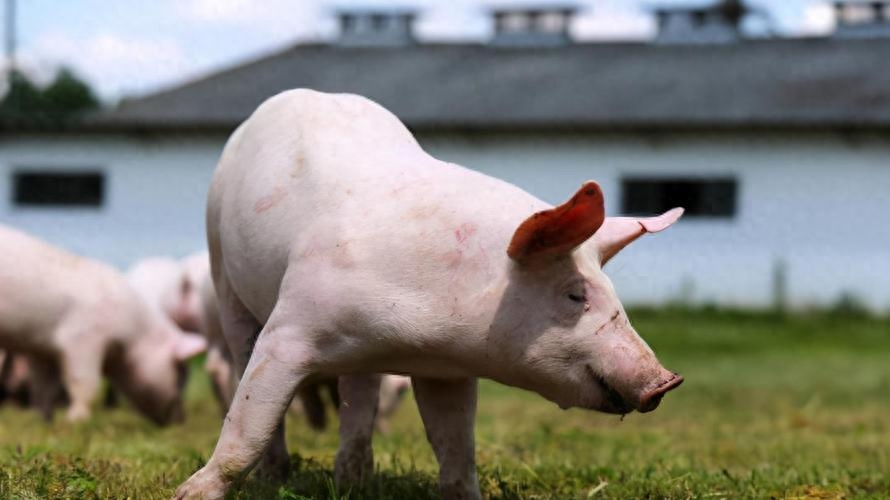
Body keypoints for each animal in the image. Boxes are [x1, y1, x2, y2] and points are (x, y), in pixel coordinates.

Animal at [0, 225, 207, 424]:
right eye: (179, 371)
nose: (181, 421)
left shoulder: (43, 351)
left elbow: (44, 387)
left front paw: (44, 421)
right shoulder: (83, 338)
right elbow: (83, 382)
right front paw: (75, 421)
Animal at [174, 89, 683, 500]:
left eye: (612, 294)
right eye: (575, 295)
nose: (666, 380)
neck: (419, 338)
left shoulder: (447, 372)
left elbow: (455, 443)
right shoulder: (292, 328)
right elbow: (248, 421)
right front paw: (190, 494)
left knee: (359, 390)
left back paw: (355, 481)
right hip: (222, 269)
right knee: (243, 353)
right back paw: (277, 476)